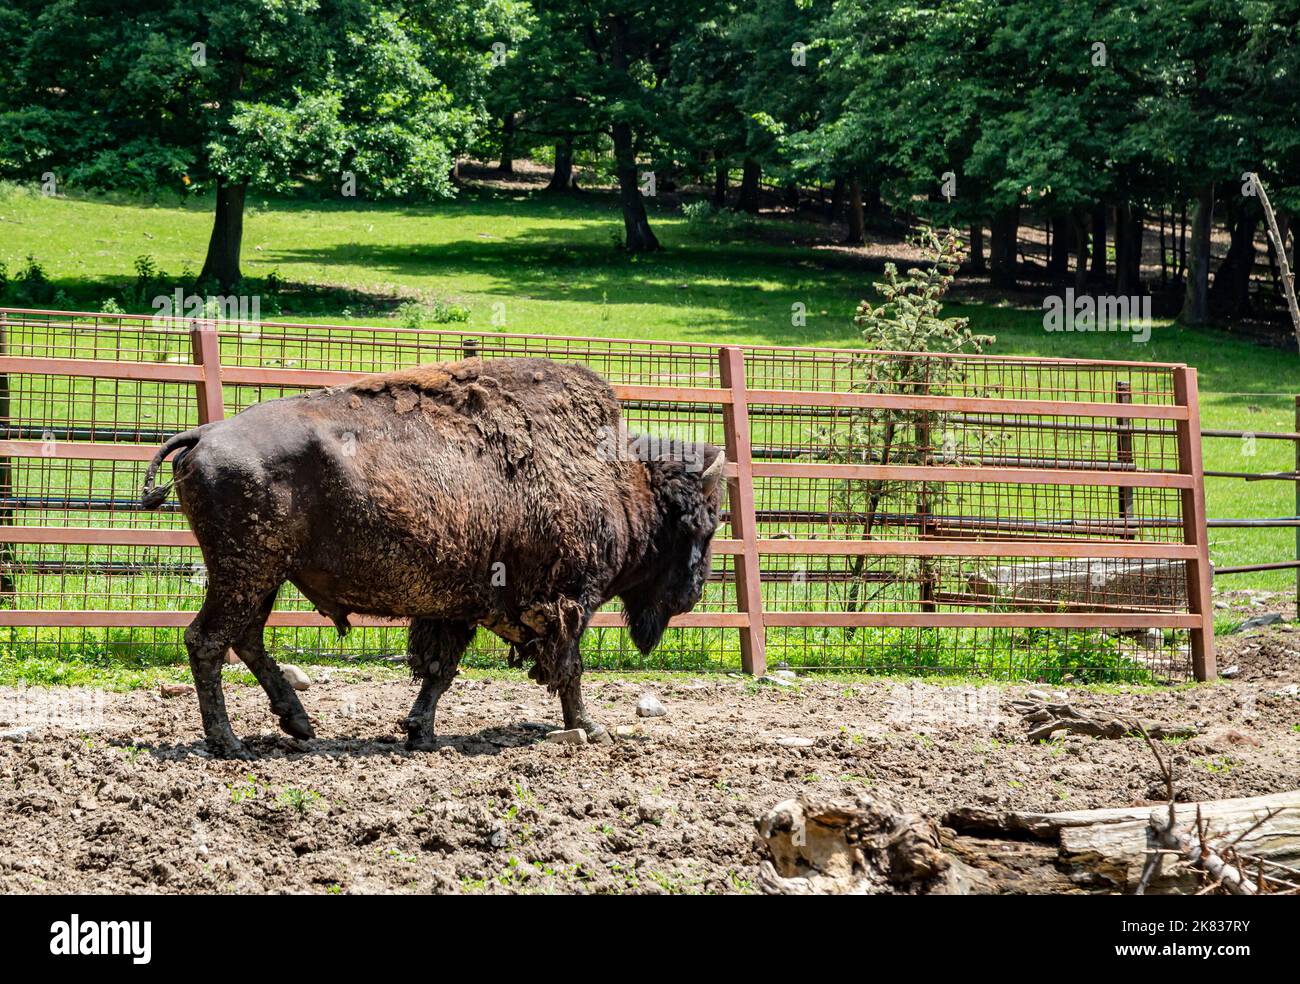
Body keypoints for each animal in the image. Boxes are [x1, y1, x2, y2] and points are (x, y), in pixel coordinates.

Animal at [141, 357, 723, 758]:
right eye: (704, 522)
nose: (693, 594)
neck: (621, 482)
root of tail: (205, 434)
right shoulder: (565, 604)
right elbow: (569, 668)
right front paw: (590, 726)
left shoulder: (460, 608)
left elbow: (441, 670)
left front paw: (418, 732)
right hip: (245, 573)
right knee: (207, 641)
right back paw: (229, 742)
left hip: (262, 578)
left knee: (245, 639)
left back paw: (298, 724)